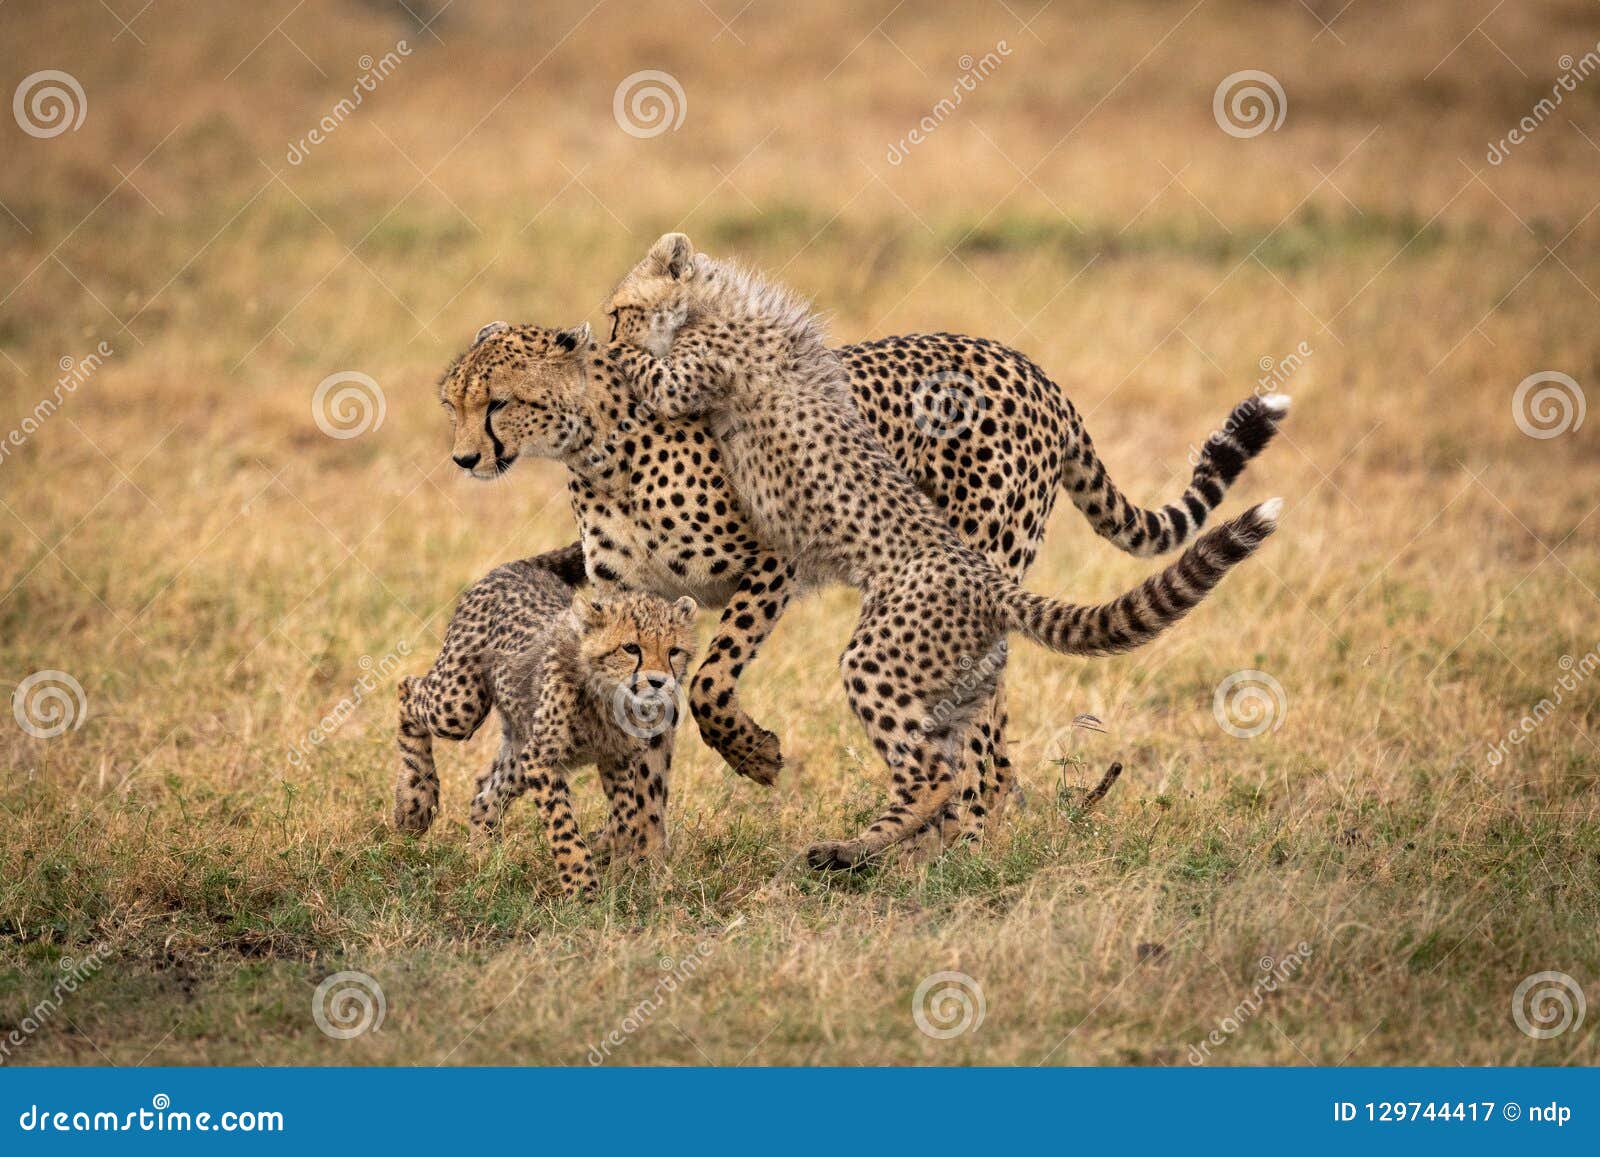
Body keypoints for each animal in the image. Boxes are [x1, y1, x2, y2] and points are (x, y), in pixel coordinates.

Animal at [393, 542, 696, 895]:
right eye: (631, 648)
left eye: (673, 651)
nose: (659, 681)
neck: (609, 698)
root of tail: (521, 566)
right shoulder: (541, 759)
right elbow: (563, 827)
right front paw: (582, 887)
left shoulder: (616, 759)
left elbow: (627, 816)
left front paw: (613, 856)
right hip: (459, 704)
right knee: (407, 690)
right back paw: (414, 804)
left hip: (518, 745)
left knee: (485, 796)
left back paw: (481, 859)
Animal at [438, 264, 1287, 849]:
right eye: (452, 401)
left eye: (499, 402)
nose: (462, 458)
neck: (600, 446)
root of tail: (1028, 366)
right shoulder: (629, 609)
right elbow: (642, 738)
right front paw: (636, 855)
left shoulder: (772, 561)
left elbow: (710, 683)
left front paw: (755, 756)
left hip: (955, 577)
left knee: (978, 742)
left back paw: (956, 850)